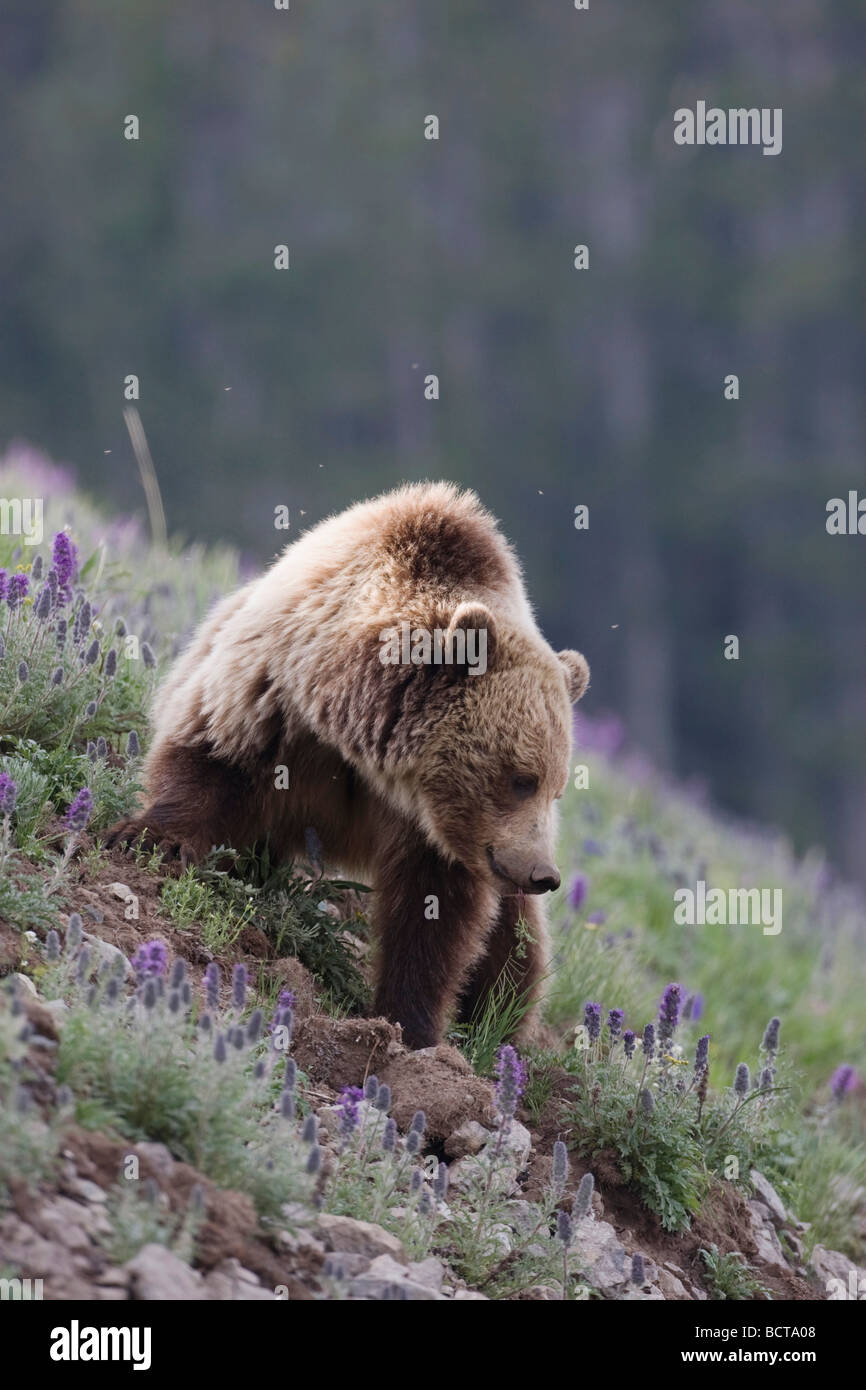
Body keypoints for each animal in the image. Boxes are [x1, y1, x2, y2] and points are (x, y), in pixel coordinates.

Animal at [107, 482, 589, 1048]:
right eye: (521, 779)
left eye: (556, 790)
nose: (544, 874)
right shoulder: (276, 695)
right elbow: (214, 756)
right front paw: (150, 839)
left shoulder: (435, 829)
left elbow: (433, 915)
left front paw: (409, 1026)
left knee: (516, 942)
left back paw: (500, 1026)